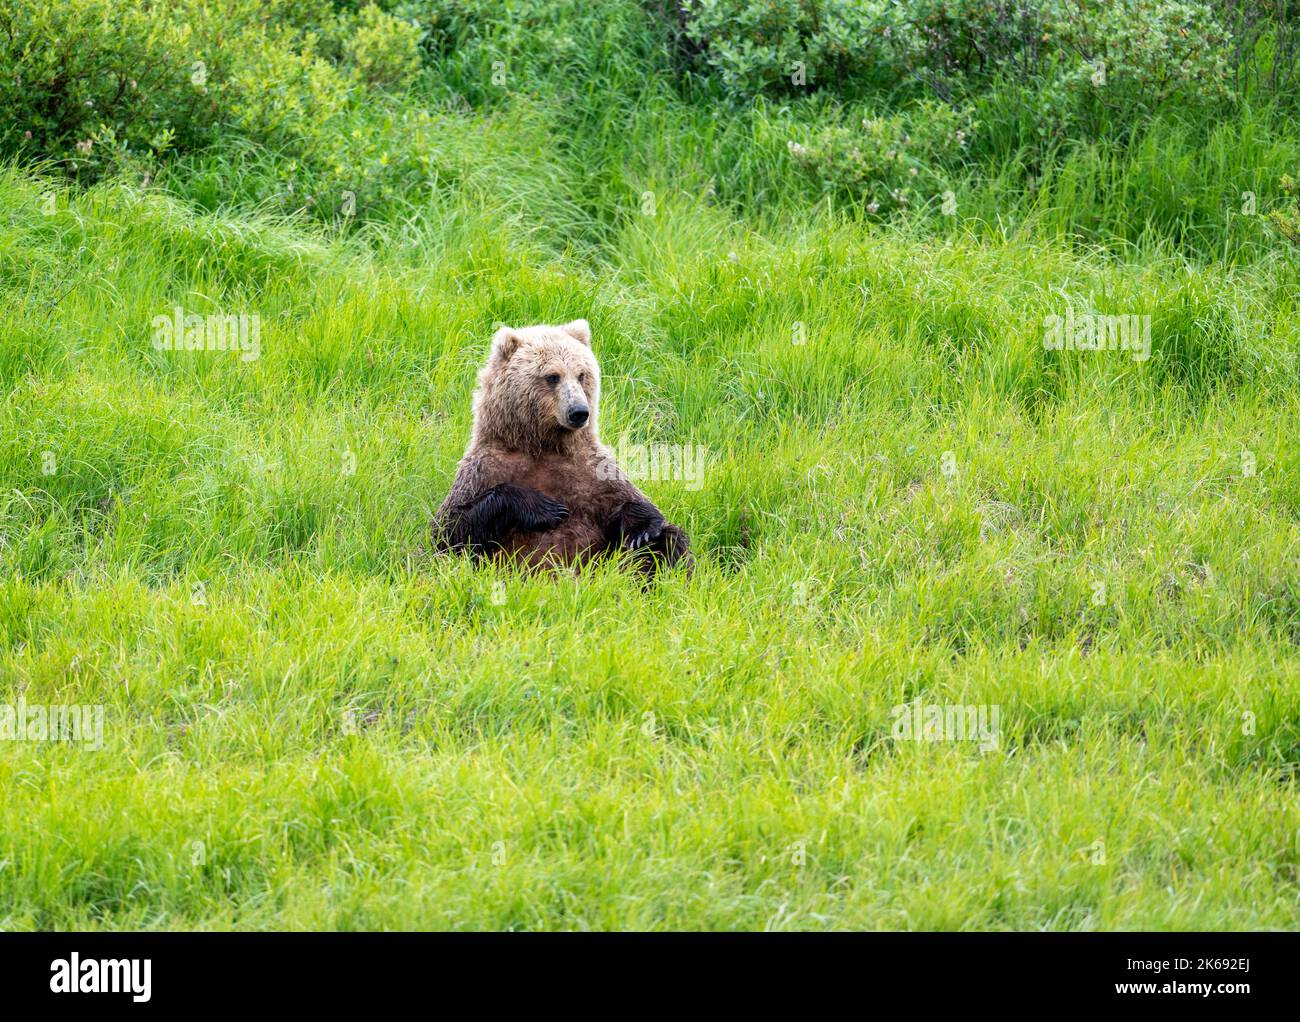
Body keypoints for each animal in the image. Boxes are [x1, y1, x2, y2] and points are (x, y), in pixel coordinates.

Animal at [432, 319, 692, 574]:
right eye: (552, 376)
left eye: (581, 374)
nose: (579, 411)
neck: (544, 443)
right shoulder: (488, 466)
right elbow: (450, 527)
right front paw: (546, 508)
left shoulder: (591, 469)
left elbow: (629, 502)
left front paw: (642, 532)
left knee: (669, 542)